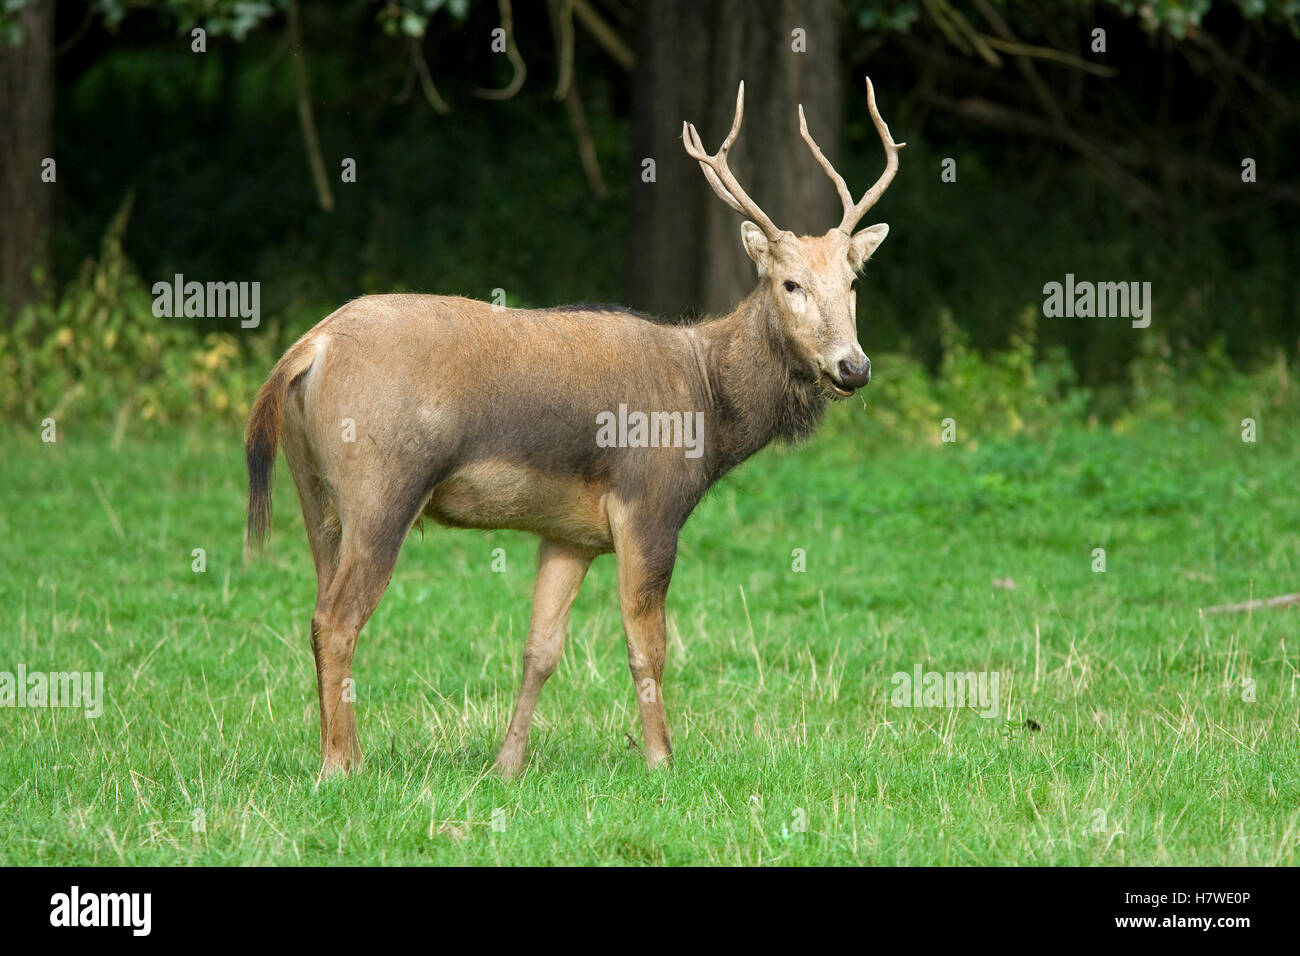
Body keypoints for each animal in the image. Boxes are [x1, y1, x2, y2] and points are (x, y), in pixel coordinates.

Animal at [245, 77, 903, 780]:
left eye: (854, 281)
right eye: (790, 283)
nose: (854, 366)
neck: (709, 403)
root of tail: (306, 351)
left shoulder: (571, 533)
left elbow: (540, 649)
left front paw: (506, 764)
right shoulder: (648, 504)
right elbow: (648, 647)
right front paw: (662, 760)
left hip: (316, 494)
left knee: (317, 611)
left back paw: (343, 752)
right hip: (382, 484)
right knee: (338, 619)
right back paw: (340, 767)